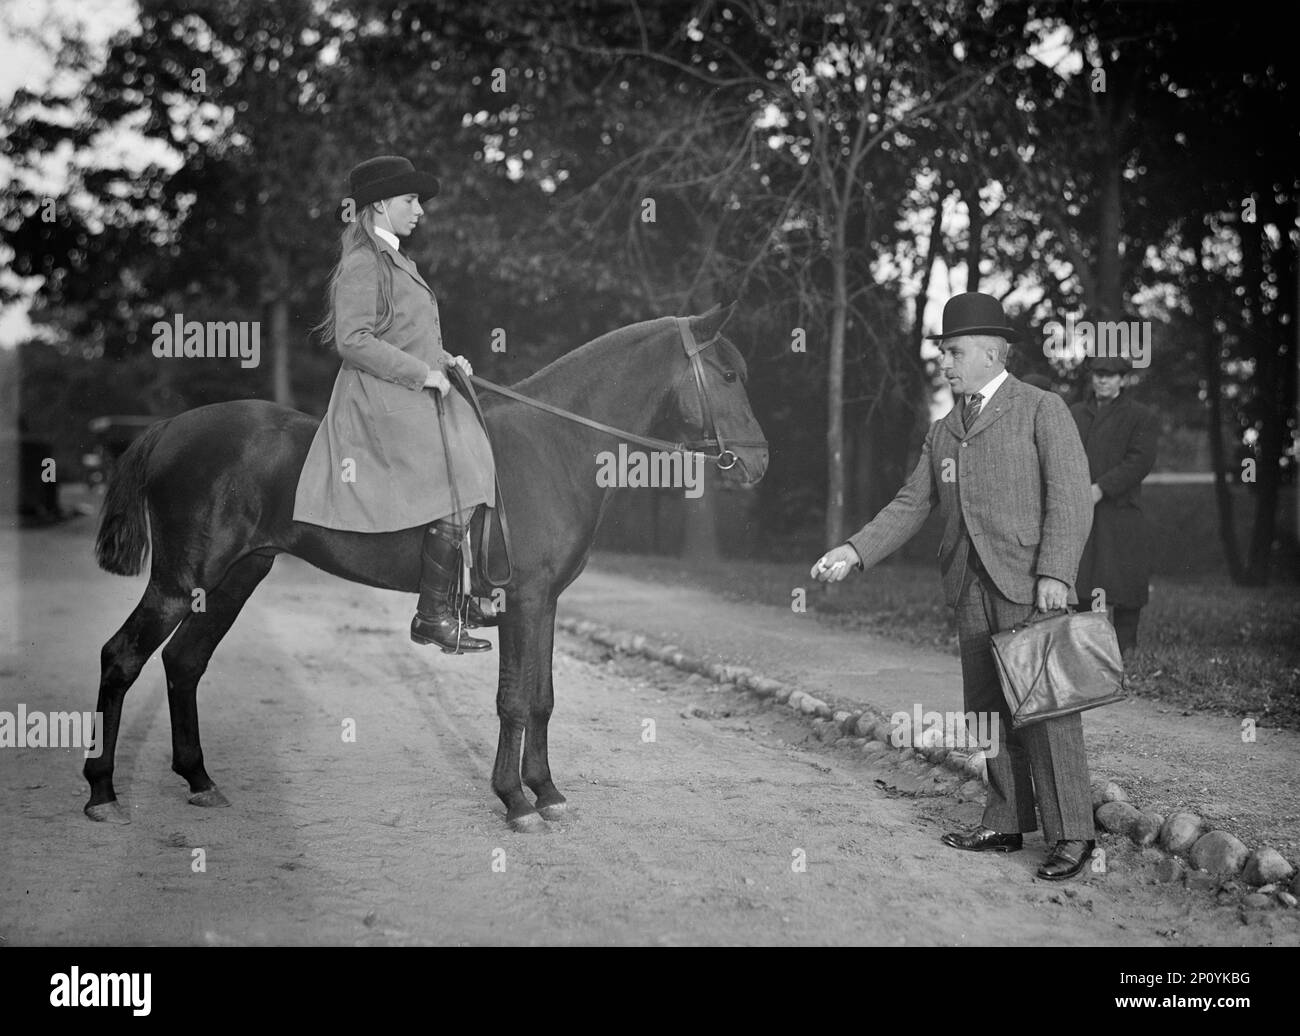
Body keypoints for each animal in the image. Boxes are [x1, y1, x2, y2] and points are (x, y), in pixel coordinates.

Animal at [86, 302, 764, 826]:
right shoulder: (524, 601)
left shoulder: (545, 603)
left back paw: (200, 780)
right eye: (729, 374)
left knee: (184, 661)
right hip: (181, 582)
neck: (553, 445)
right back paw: (101, 791)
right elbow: (514, 700)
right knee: (122, 657)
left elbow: (542, 697)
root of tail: (171, 427)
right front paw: (515, 800)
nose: (759, 463)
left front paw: (547, 791)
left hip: (233, 581)